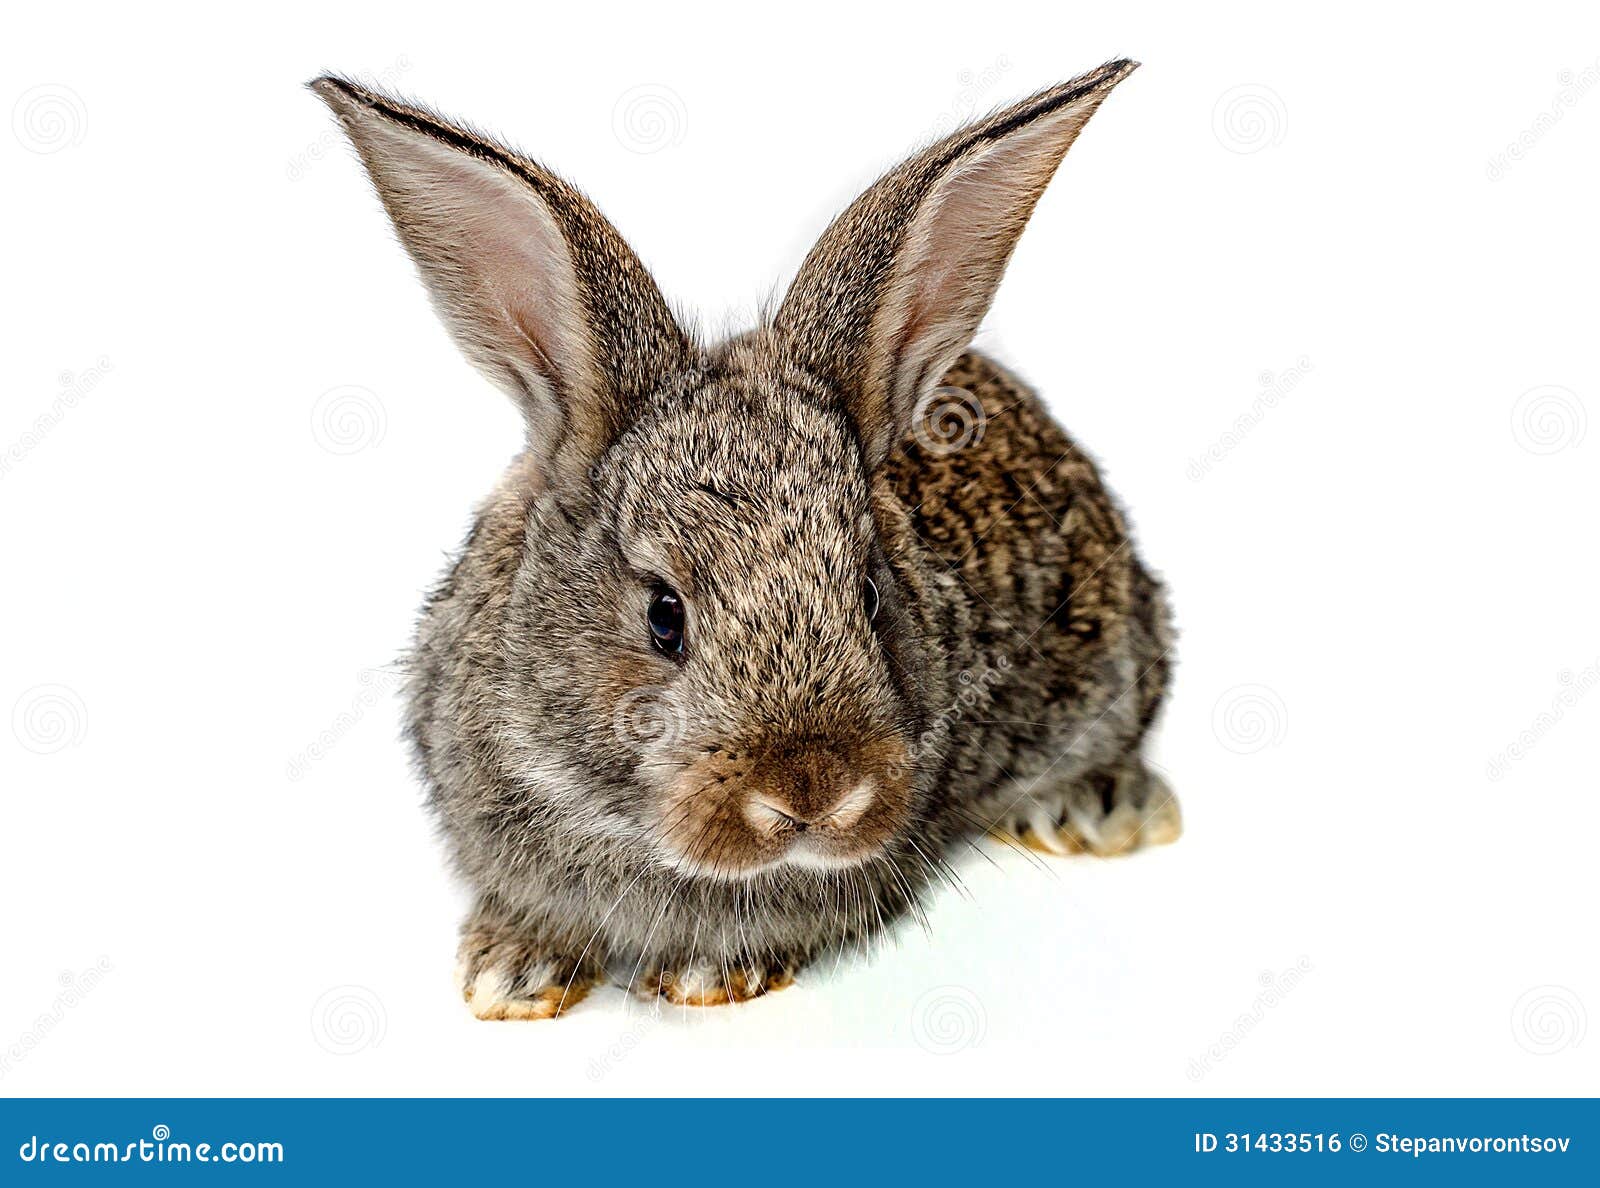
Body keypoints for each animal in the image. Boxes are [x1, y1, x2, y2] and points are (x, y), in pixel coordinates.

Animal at [313, 56, 1178, 1020]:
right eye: (664, 616)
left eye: (869, 593)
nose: (812, 795)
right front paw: (510, 970)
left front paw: (701, 975)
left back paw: (1101, 811)